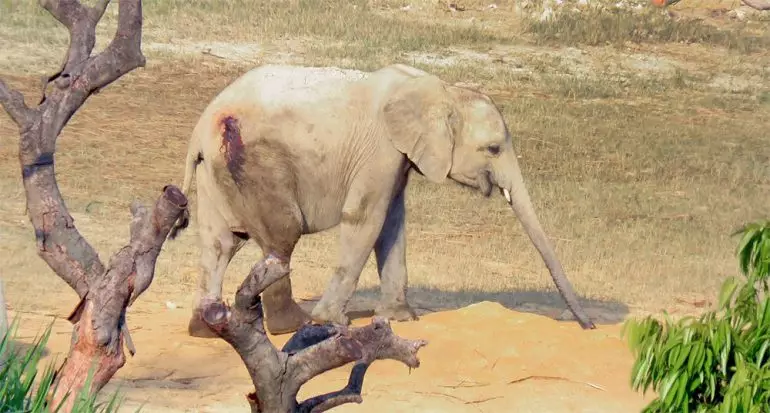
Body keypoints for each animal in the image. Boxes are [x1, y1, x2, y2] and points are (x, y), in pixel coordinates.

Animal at [170, 62, 592, 336]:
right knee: (280, 237)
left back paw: (206, 327)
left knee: (220, 244)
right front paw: (331, 322)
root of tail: (201, 126)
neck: (440, 90)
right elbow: (366, 219)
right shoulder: (380, 151)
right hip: (256, 161)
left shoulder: (399, 157)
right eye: (493, 149)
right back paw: (292, 325)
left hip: (217, 171)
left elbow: (393, 224)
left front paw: (401, 318)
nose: (587, 326)